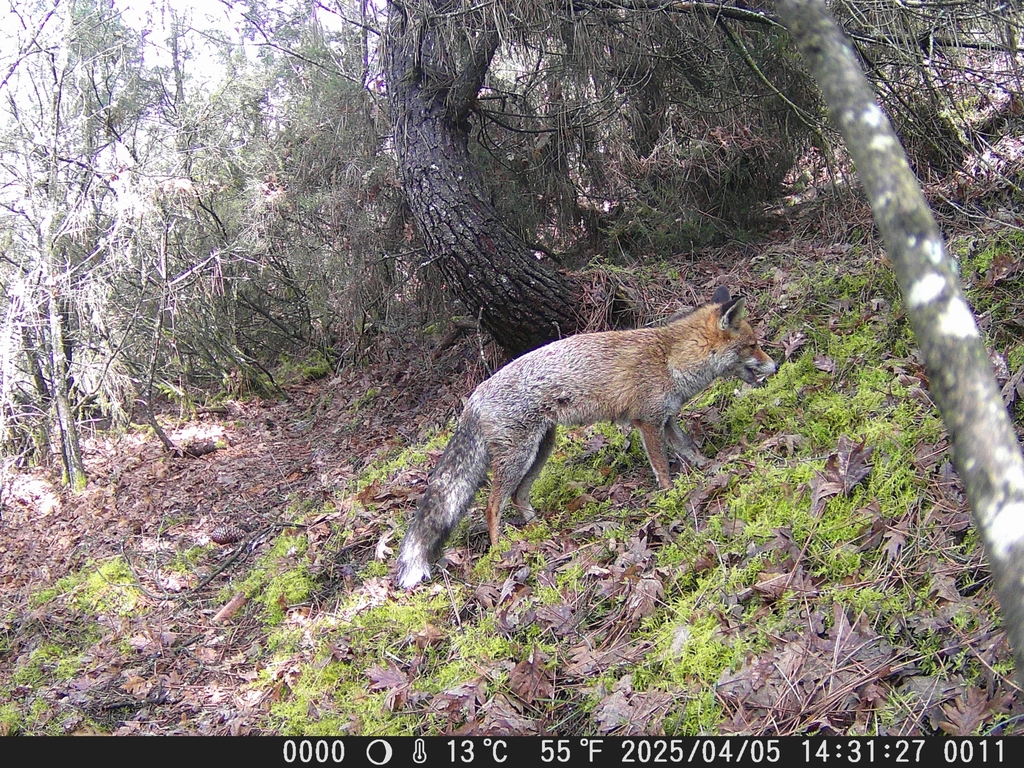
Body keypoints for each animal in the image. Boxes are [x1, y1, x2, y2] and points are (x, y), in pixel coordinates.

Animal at [396, 286, 776, 589]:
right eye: (754, 345)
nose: (776, 365)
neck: (670, 359)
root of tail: (474, 396)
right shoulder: (648, 422)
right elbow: (663, 467)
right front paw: (671, 496)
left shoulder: (666, 418)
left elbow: (688, 448)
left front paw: (708, 468)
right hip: (519, 457)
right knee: (492, 505)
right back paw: (501, 546)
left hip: (541, 450)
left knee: (518, 497)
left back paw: (538, 528)